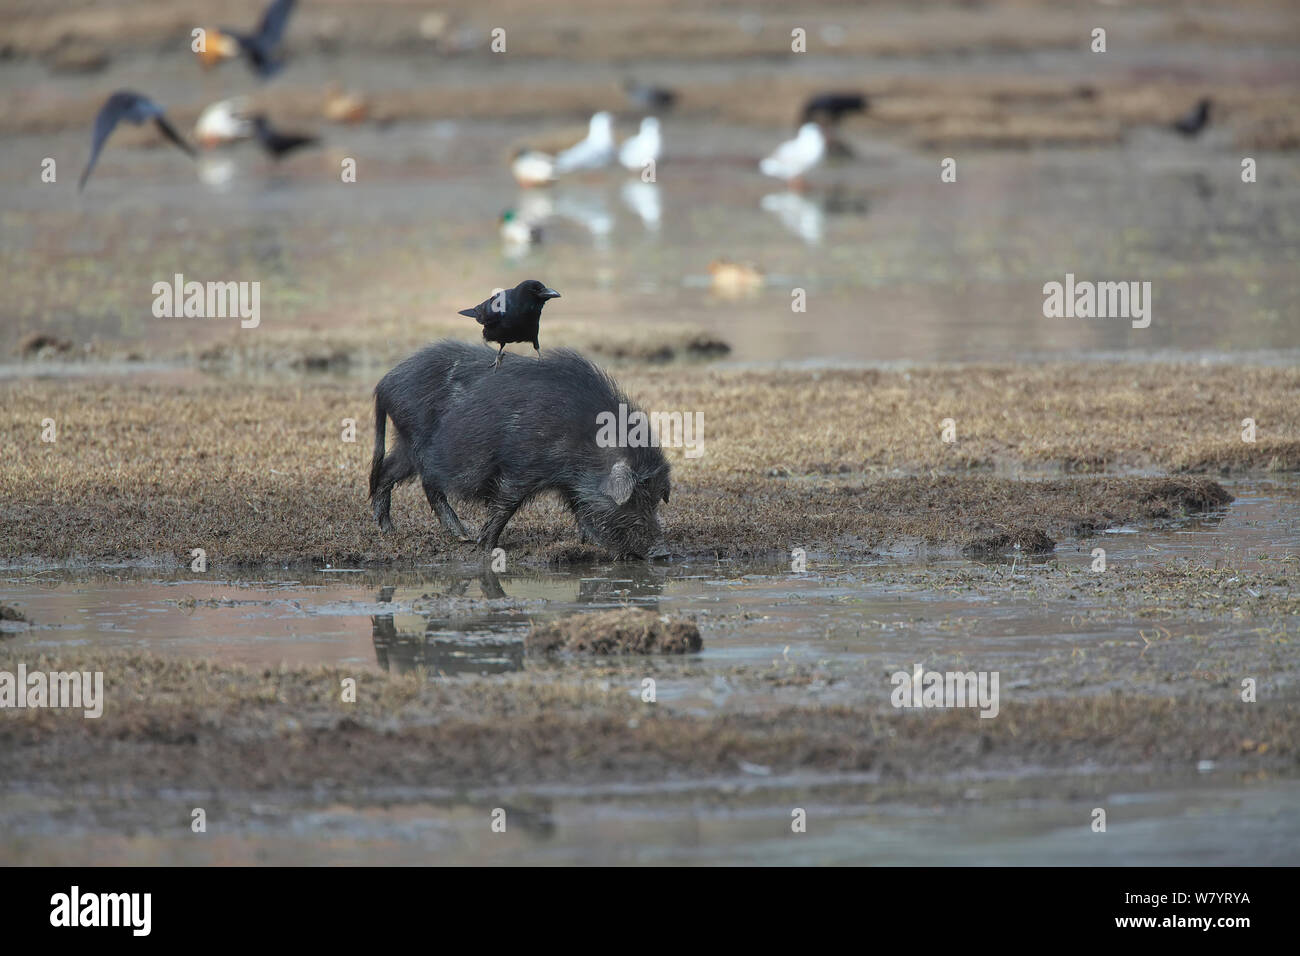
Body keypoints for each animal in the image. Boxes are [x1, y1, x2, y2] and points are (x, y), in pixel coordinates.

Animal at [369, 340, 671, 558]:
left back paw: (396, 531)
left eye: (656, 498)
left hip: (406, 445)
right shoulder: (521, 466)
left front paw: (594, 544)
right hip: (417, 442)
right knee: (424, 483)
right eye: (635, 497)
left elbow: (580, 508)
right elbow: (506, 504)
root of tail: (384, 383)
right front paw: (486, 546)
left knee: (392, 474)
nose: (662, 552)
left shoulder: (570, 482)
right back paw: (453, 535)